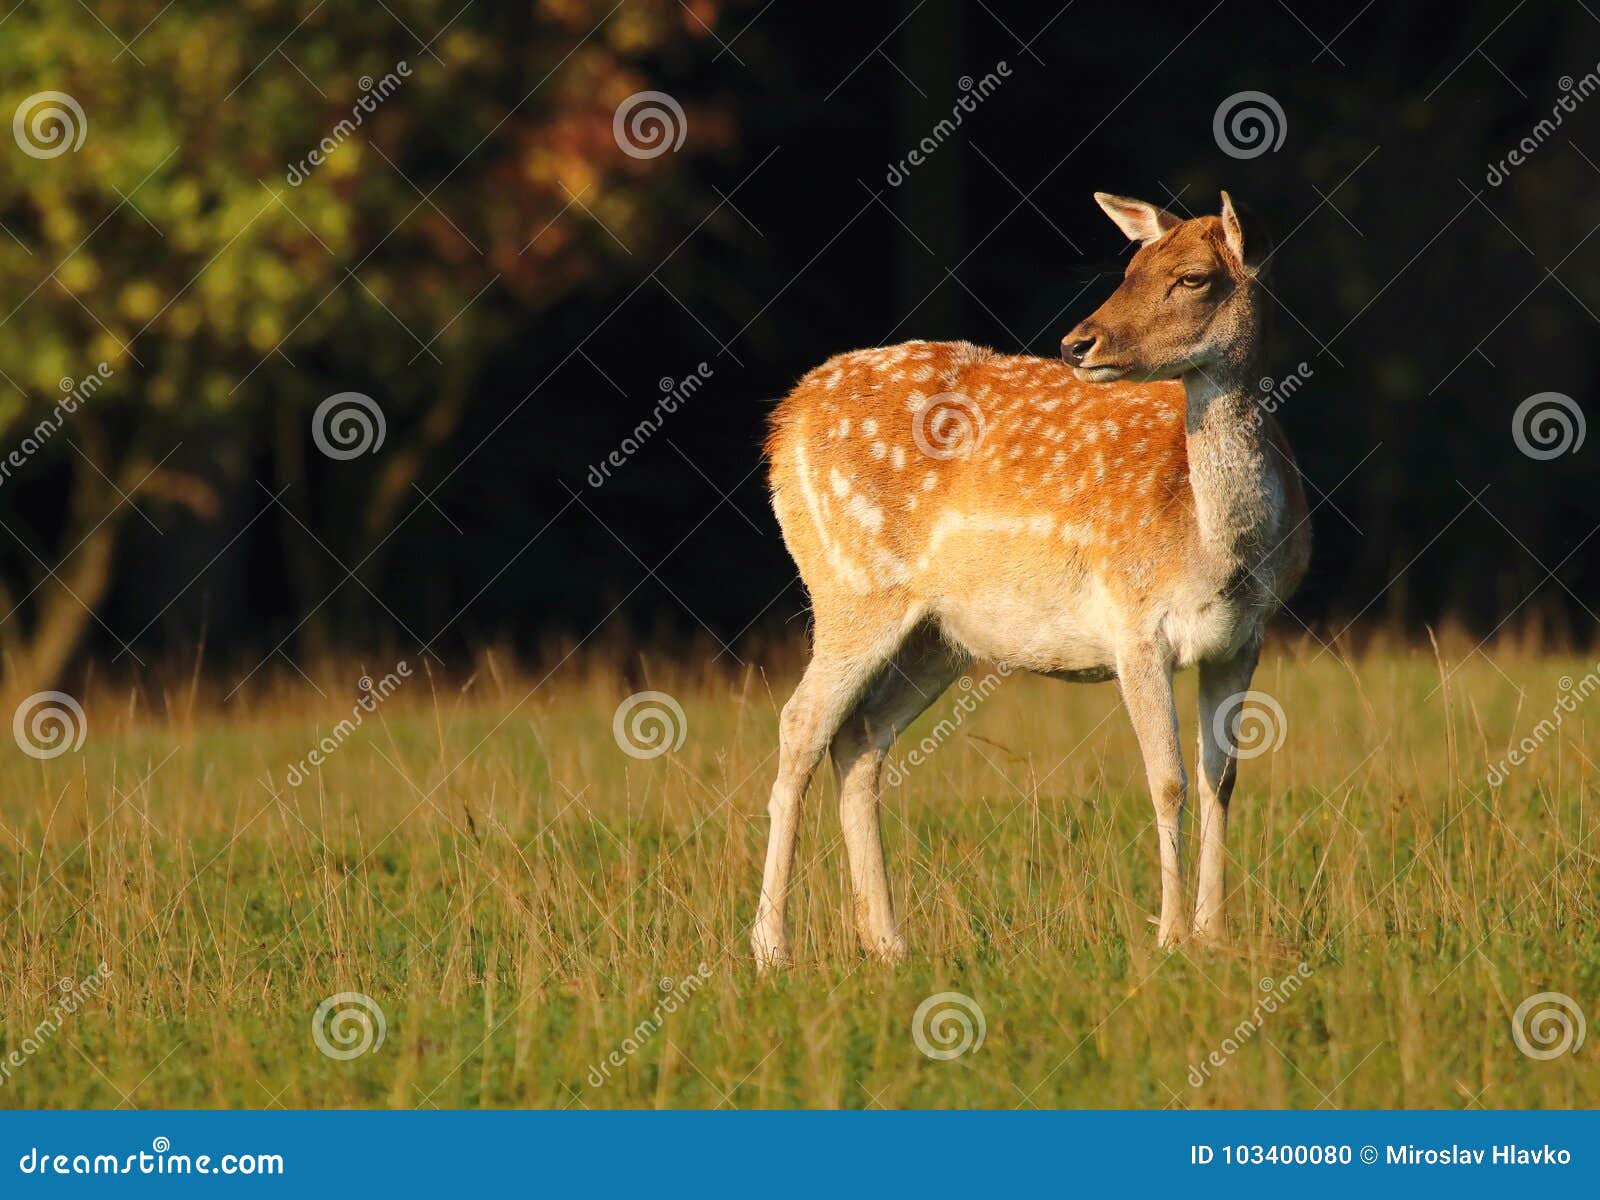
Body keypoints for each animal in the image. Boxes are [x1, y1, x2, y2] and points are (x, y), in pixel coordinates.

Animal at [751, 192, 1310, 969]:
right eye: (1130, 266)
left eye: (1193, 277)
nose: (1079, 344)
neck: (1219, 548)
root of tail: (782, 423)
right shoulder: (1135, 624)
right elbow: (1167, 781)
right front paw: (1169, 937)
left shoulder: (1243, 638)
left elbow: (1219, 779)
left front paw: (1214, 934)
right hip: (848, 587)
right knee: (800, 724)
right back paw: (772, 949)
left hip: (939, 636)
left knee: (858, 737)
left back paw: (888, 943)